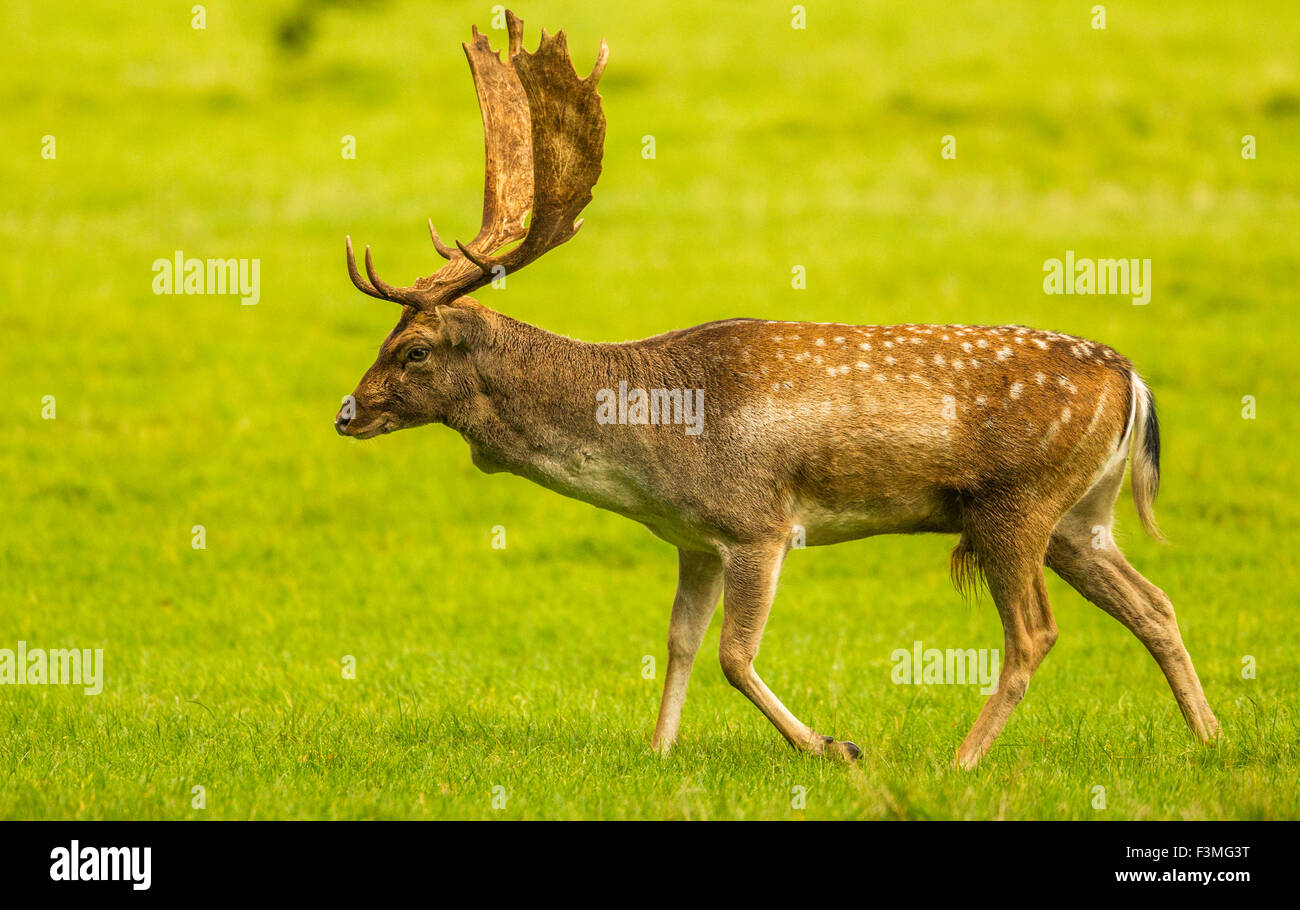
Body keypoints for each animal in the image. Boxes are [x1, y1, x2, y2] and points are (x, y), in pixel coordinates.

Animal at [334, 11, 1220, 768]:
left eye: (412, 350)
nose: (347, 411)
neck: (650, 444)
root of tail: (1132, 379)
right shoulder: (693, 538)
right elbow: (680, 642)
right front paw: (659, 750)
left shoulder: (757, 520)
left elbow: (734, 654)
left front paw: (832, 745)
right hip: (1080, 516)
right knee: (1155, 603)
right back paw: (1210, 737)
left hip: (1016, 503)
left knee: (1035, 633)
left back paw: (962, 761)